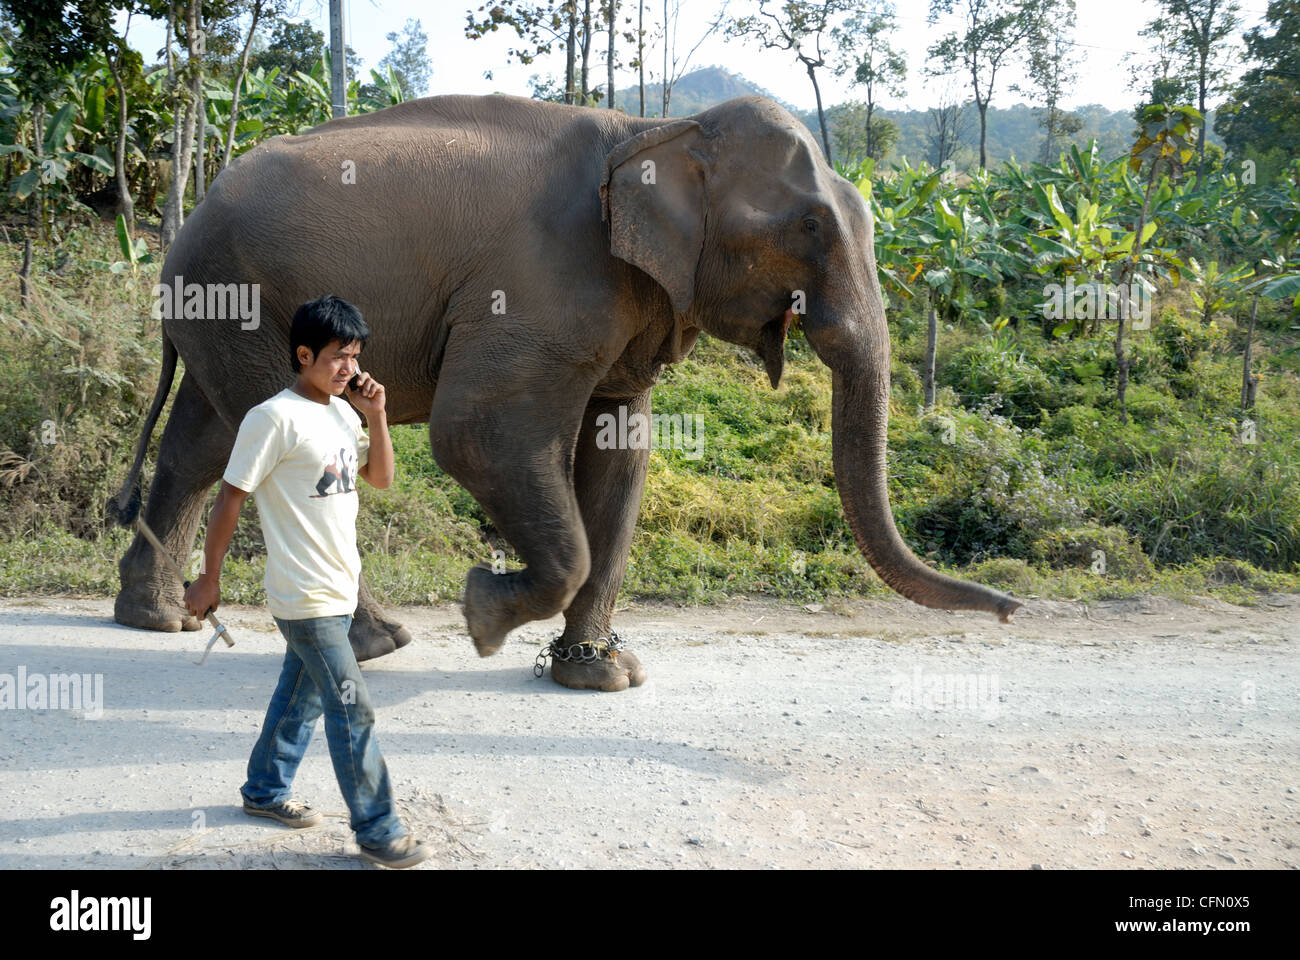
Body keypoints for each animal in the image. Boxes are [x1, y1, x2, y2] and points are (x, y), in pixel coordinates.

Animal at [111, 92, 1021, 692]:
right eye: (810, 228)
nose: (1012, 610)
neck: (652, 129)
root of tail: (182, 220)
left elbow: (621, 454)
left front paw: (603, 675)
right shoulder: (541, 284)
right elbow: (476, 433)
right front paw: (482, 616)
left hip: (227, 308)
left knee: (208, 440)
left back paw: (161, 619)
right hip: (239, 292)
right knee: (268, 447)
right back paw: (378, 642)